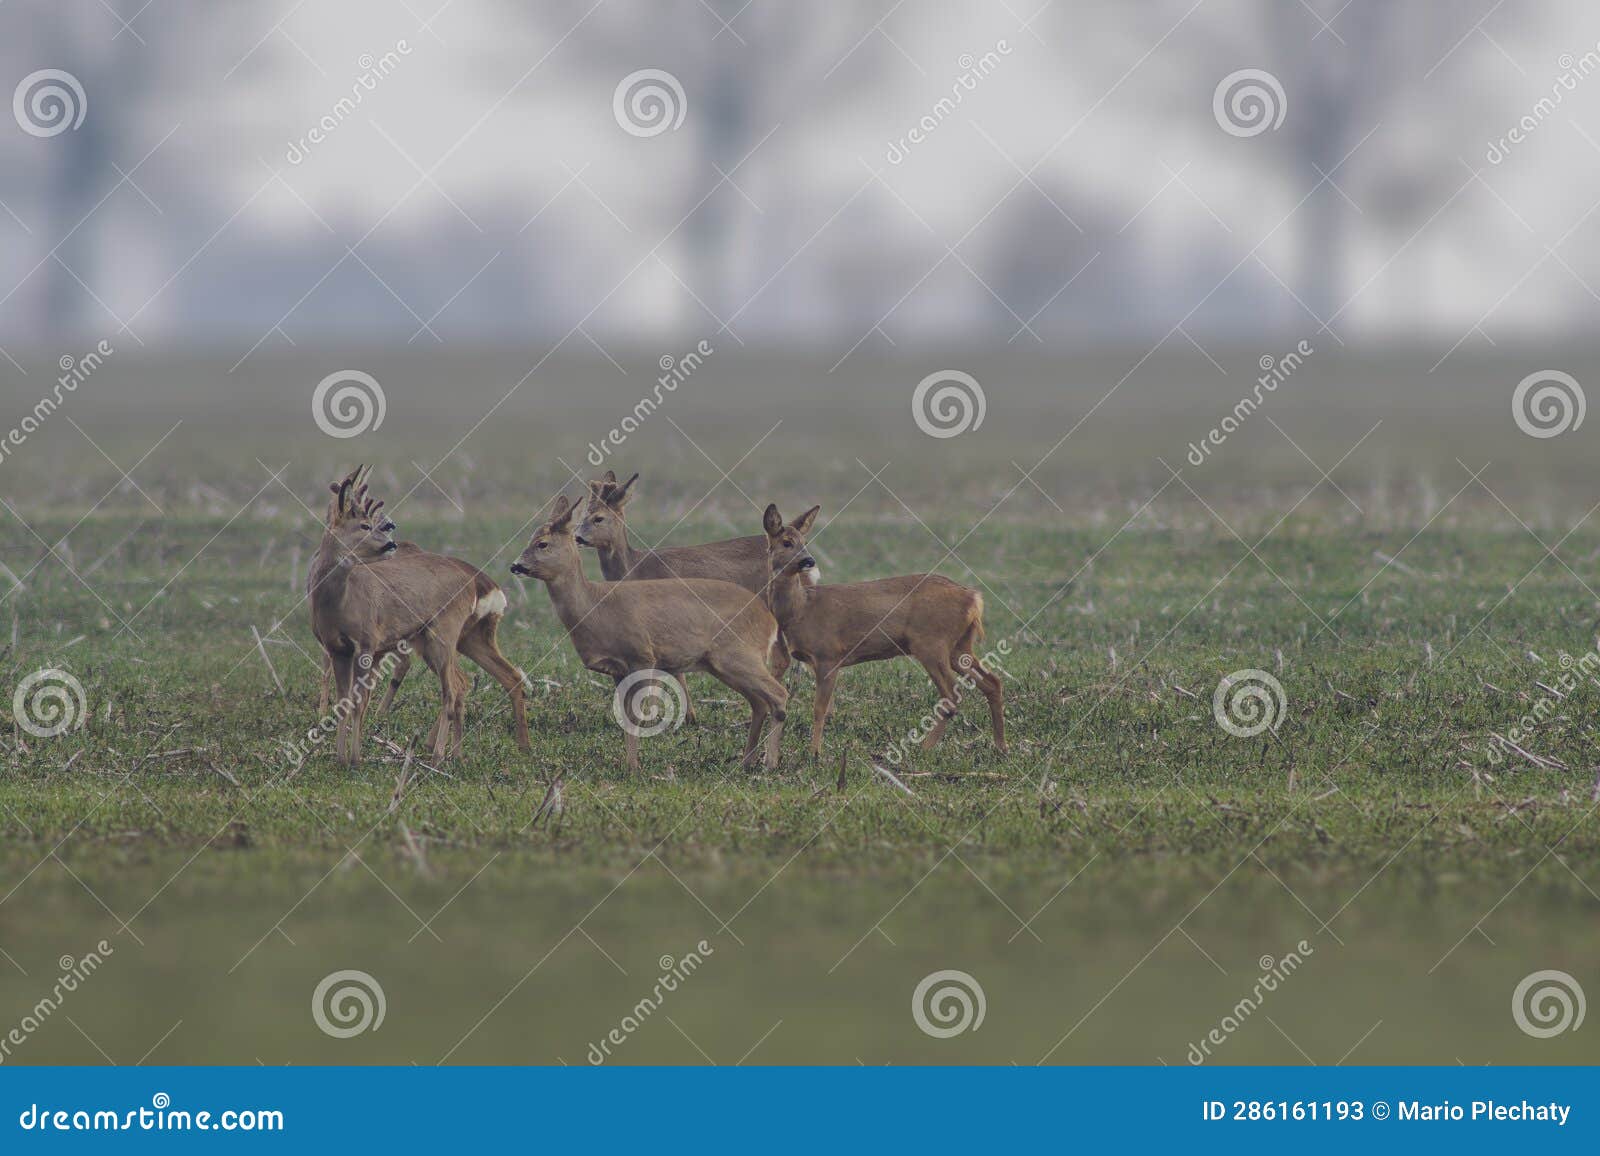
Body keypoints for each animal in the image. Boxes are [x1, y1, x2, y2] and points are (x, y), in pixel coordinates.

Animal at [309, 468, 529, 754]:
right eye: (364, 521)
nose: (389, 538)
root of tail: (485, 585)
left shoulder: (367, 646)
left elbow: (356, 694)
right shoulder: (347, 646)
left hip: (441, 639)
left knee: (456, 684)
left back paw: (439, 751)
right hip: (470, 638)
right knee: (506, 676)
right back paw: (517, 747)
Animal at [512, 494, 788, 774]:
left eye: (542, 543)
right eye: (531, 539)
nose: (516, 565)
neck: (595, 606)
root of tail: (769, 620)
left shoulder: (643, 657)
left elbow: (635, 715)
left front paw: (634, 767)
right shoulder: (618, 669)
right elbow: (623, 716)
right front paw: (629, 763)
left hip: (739, 655)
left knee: (778, 694)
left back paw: (770, 762)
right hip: (722, 664)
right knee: (759, 702)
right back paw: (747, 760)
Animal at [760, 503, 1006, 760]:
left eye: (804, 541)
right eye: (787, 542)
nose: (808, 560)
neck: (800, 608)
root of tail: (974, 598)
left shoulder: (829, 655)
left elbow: (820, 709)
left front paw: (815, 755)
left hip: (931, 643)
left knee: (952, 695)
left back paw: (924, 749)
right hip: (958, 646)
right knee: (992, 682)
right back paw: (1001, 746)